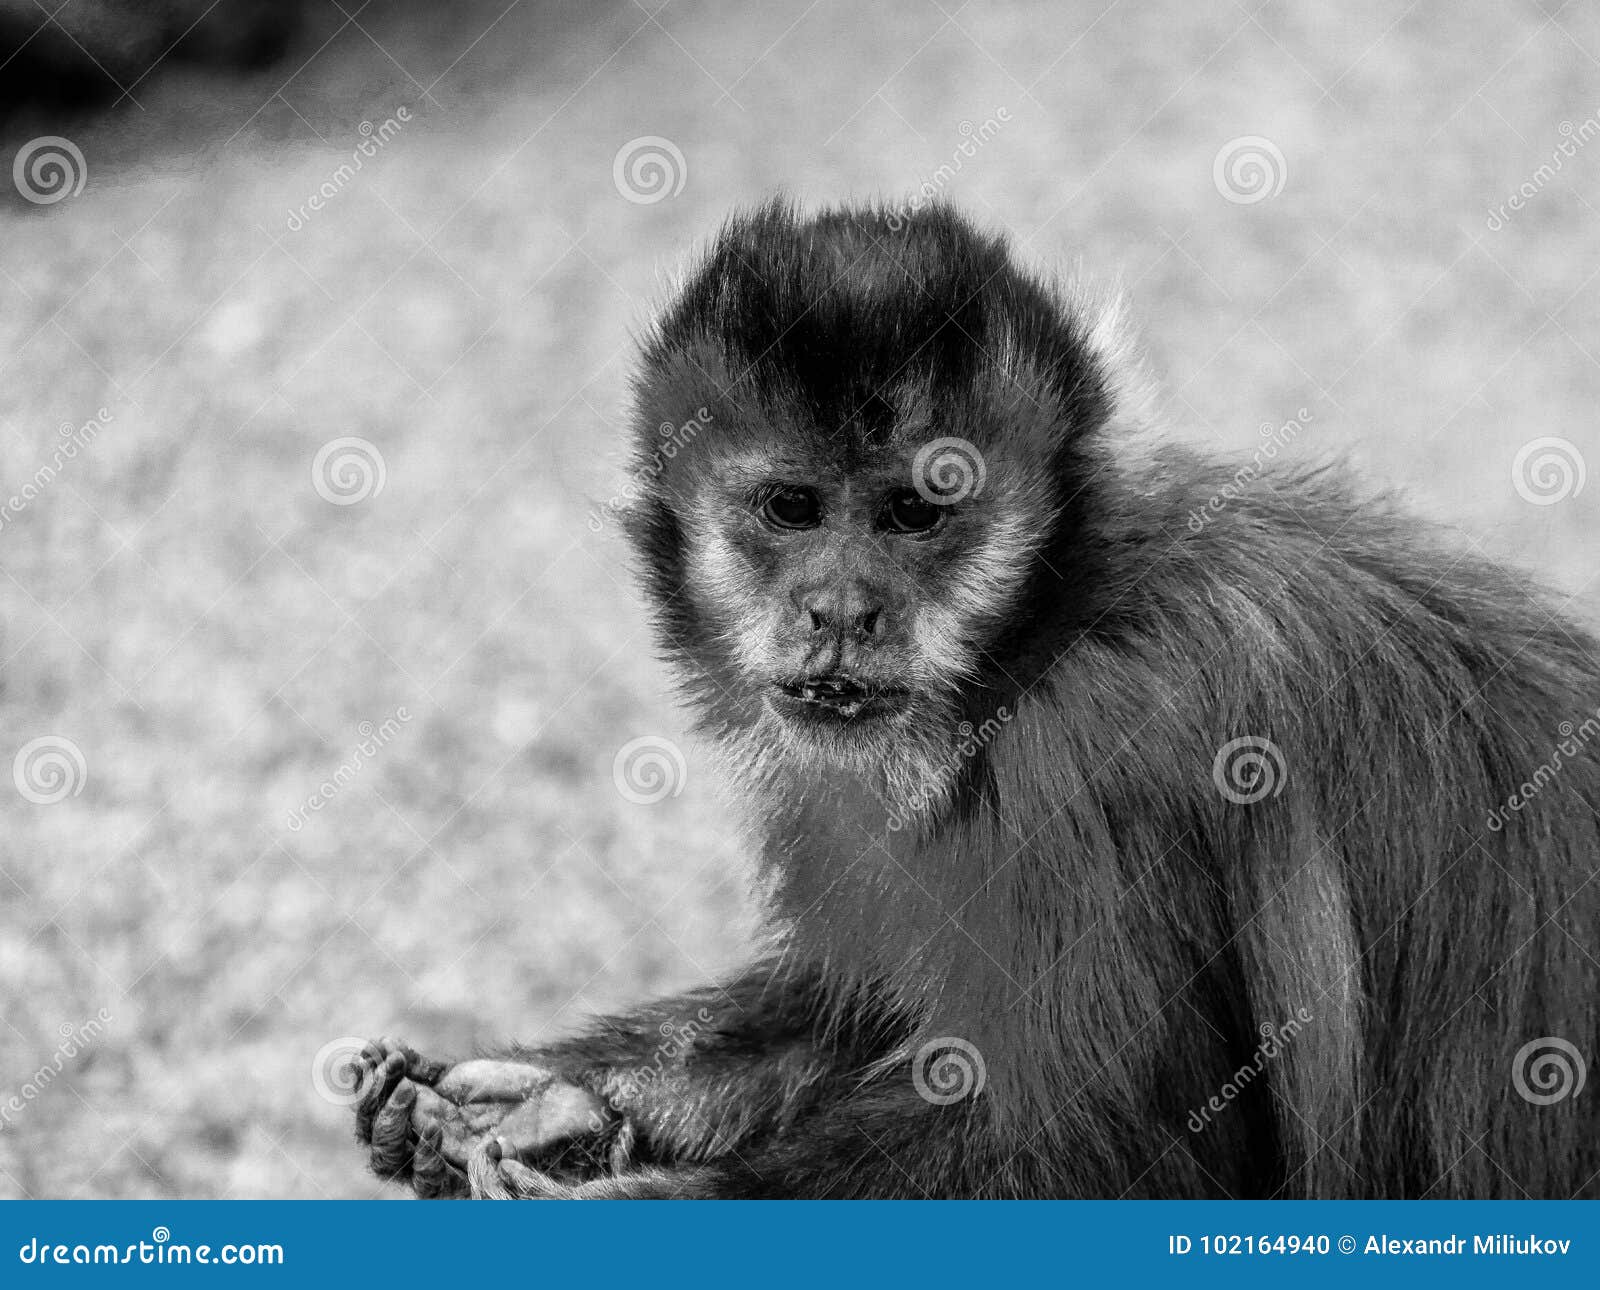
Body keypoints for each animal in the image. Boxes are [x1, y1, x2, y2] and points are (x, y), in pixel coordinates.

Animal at [350, 199, 1599, 1199]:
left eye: (915, 513)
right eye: (794, 509)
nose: (842, 609)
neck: (1034, 646)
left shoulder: (1095, 760)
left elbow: (1111, 1155)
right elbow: (870, 1015)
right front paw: (554, 1102)